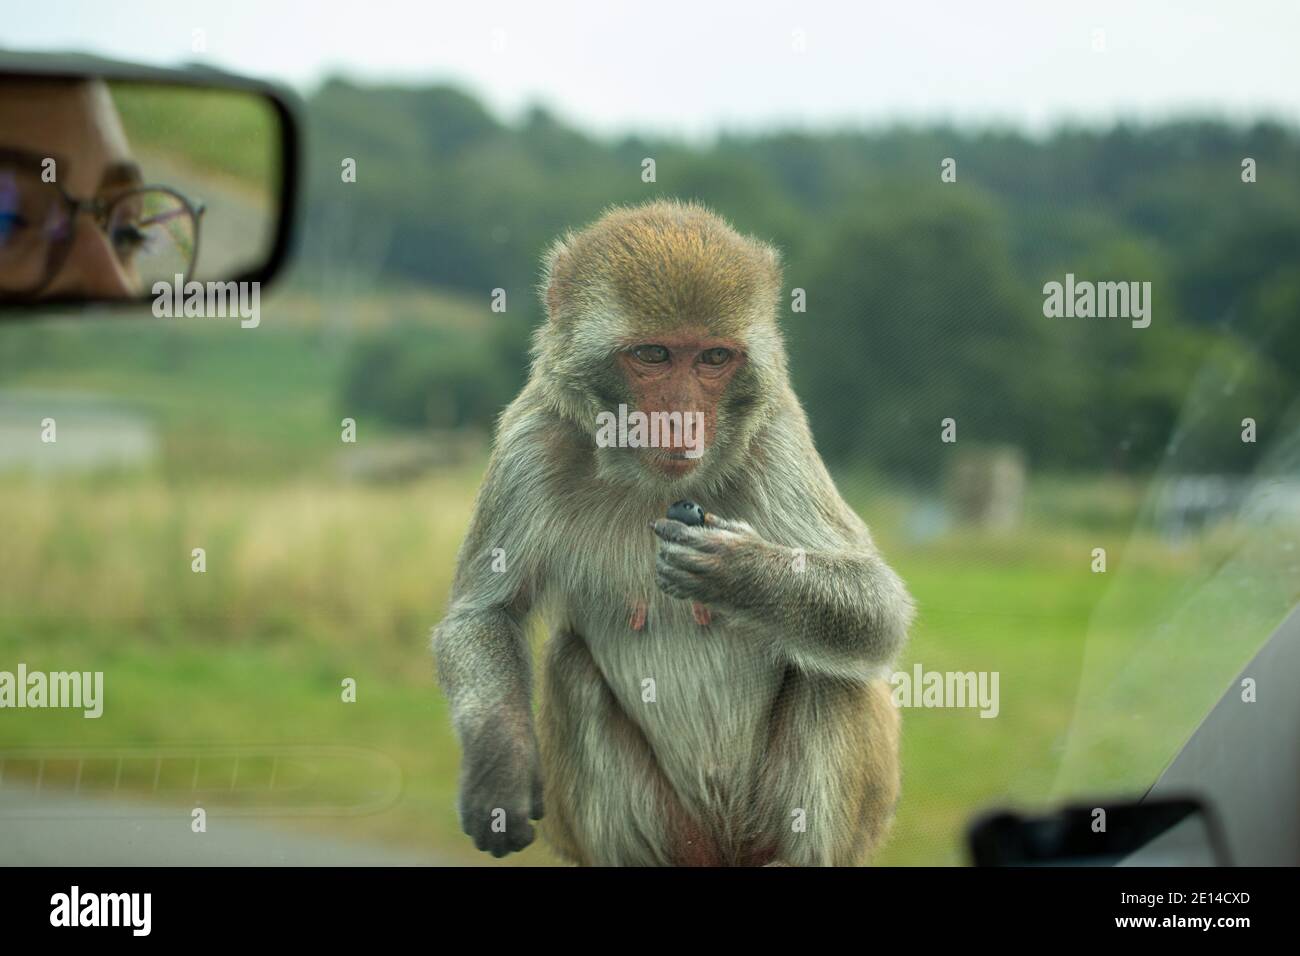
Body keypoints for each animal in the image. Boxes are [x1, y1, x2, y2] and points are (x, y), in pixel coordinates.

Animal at [432, 199, 913, 866]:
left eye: (713, 358)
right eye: (654, 355)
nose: (683, 418)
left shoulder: (776, 437)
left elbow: (878, 606)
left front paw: (742, 574)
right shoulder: (531, 440)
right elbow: (482, 615)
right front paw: (500, 763)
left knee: (831, 671)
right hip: (671, 827)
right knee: (571, 665)